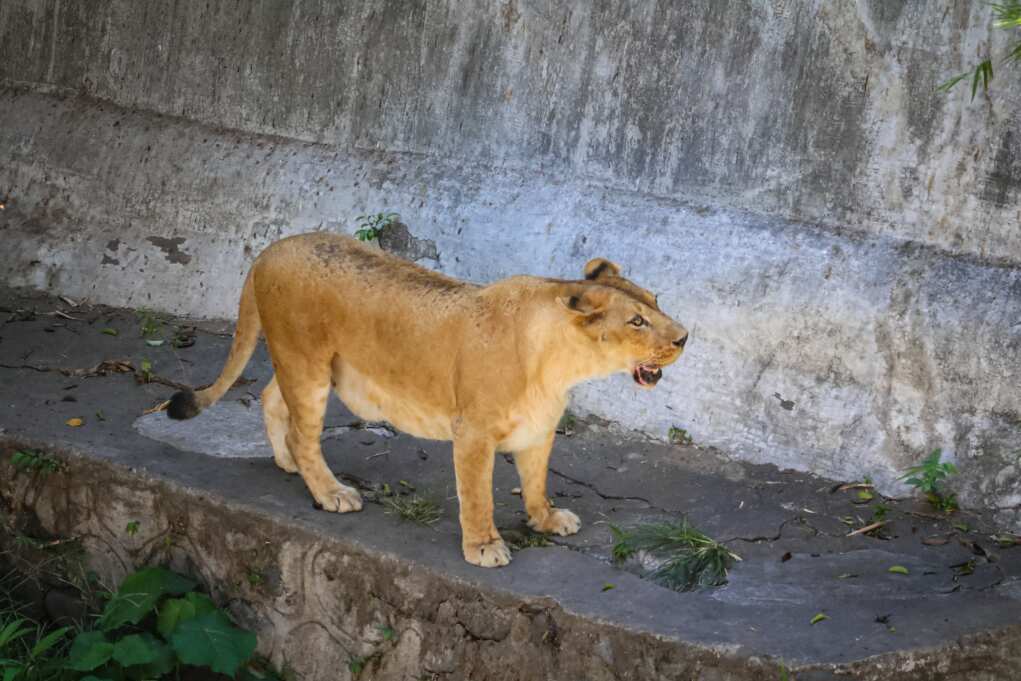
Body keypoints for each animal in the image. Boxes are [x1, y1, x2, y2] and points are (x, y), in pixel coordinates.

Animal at [167, 233, 688, 567]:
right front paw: (483, 547)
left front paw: (546, 519)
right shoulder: (473, 431)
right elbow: (477, 496)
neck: (560, 365)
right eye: (636, 321)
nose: (684, 337)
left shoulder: (537, 428)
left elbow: (536, 482)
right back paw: (331, 492)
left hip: (306, 365)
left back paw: (289, 465)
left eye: (656, 300)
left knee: (271, 398)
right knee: (302, 430)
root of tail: (269, 250)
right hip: (306, 362)